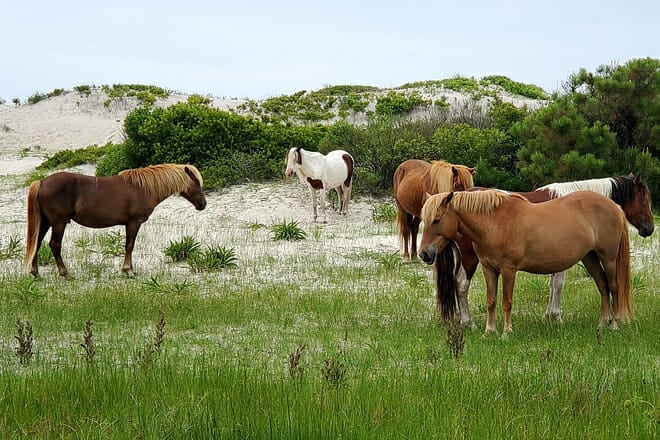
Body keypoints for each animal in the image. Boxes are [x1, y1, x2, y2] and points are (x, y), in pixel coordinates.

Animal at [24, 164, 206, 278]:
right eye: (196, 183)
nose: (203, 204)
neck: (143, 188)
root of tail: (41, 182)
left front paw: (129, 270)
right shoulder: (133, 223)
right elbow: (129, 246)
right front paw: (128, 271)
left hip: (46, 222)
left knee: (37, 243)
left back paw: (36, 273)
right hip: (58, 223)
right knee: (54, 245)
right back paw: (65, 273)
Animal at [438, 174, 653, 327]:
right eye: (644, 200)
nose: (649, 229)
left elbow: (552, 285)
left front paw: (548, 316)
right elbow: (558, 285)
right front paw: (555, 316)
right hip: (470, 258)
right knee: (462, 285)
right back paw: (469, 323)